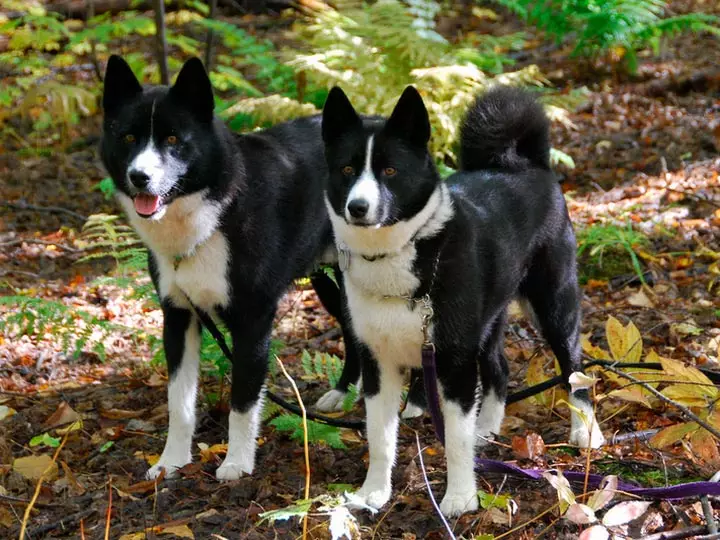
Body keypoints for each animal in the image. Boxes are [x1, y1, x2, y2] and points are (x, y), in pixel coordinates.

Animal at [100, 57, 372, 480]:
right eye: (128, 137)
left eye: (174, 139)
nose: (139, 177)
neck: (214, 213)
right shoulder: (178, 316)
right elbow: (179, 402)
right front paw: (171, 461)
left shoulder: (253, 321)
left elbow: (242, 400)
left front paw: (237, 464)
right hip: (327, 277)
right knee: (349, 325)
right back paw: (343, 392)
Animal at [324, 86, 604, 516]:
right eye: (346, 170)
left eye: (390, 171)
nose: (358, 207)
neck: (405, 254)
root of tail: (526, 163)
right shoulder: (378, 363)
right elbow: (379, 437)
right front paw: (373, 492)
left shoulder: (454, 361)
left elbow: (454, 440)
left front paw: (459, 497)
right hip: (486, 322)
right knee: (500, 369)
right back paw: (485, 428)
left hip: (553, 304)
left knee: (574, 366)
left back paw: (586, 431)